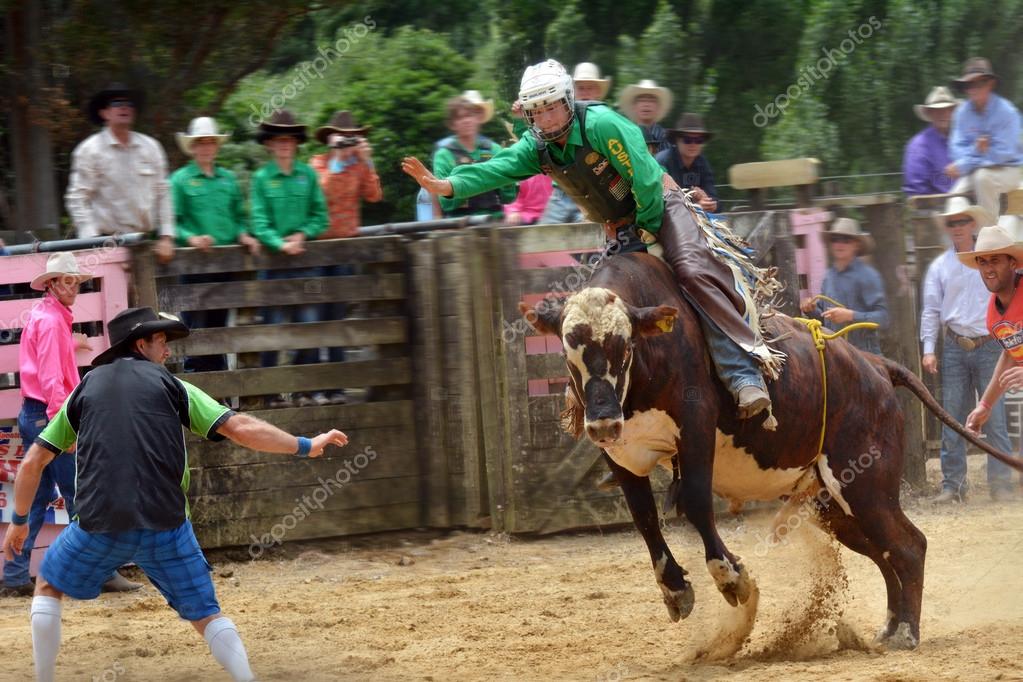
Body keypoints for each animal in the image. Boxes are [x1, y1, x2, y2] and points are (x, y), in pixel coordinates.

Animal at [520, 251, 1023, 651]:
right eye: (568, 352)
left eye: (624, 346)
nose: (602, 421)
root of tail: (877, 366)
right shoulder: (623, 454)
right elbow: (645, 520)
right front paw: (676, 590)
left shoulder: (696, 430)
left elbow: (696, 504)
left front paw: (733, 580)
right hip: (833, 506)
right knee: (885, 554)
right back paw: (888, 629)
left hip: (866, 482)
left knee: (909, 545)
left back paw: (907, 635)